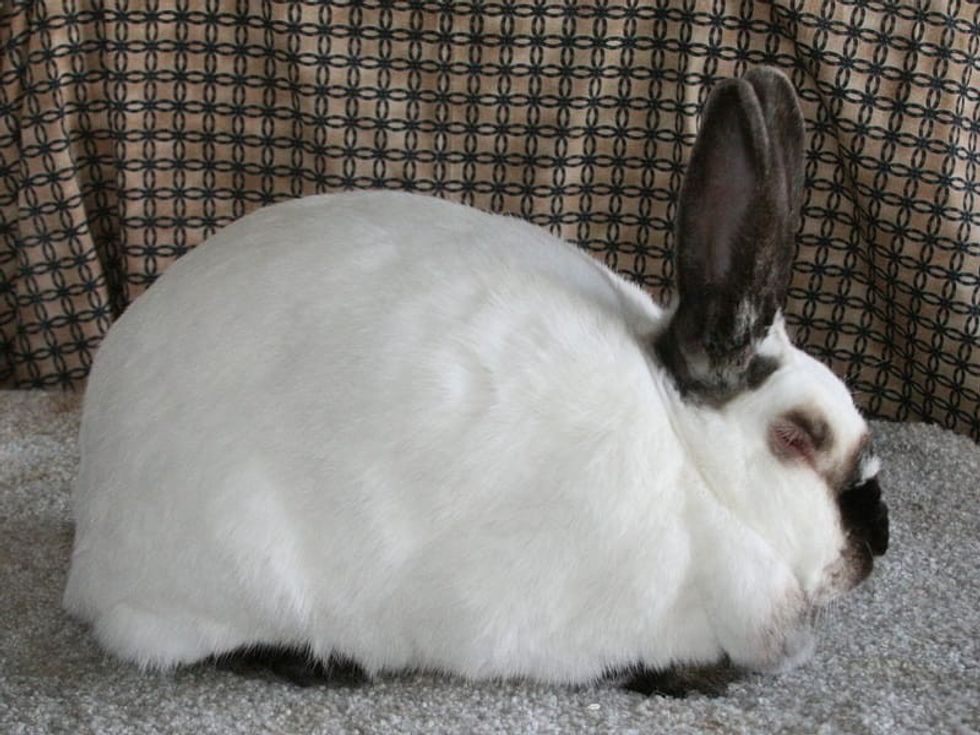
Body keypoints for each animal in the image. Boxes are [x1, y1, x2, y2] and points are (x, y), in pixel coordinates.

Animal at [63, 66, 888, 691]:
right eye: (797, 437)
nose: (877, 536)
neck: (694, 466)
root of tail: (91, 548)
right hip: (236, 564)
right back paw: (324, 665)